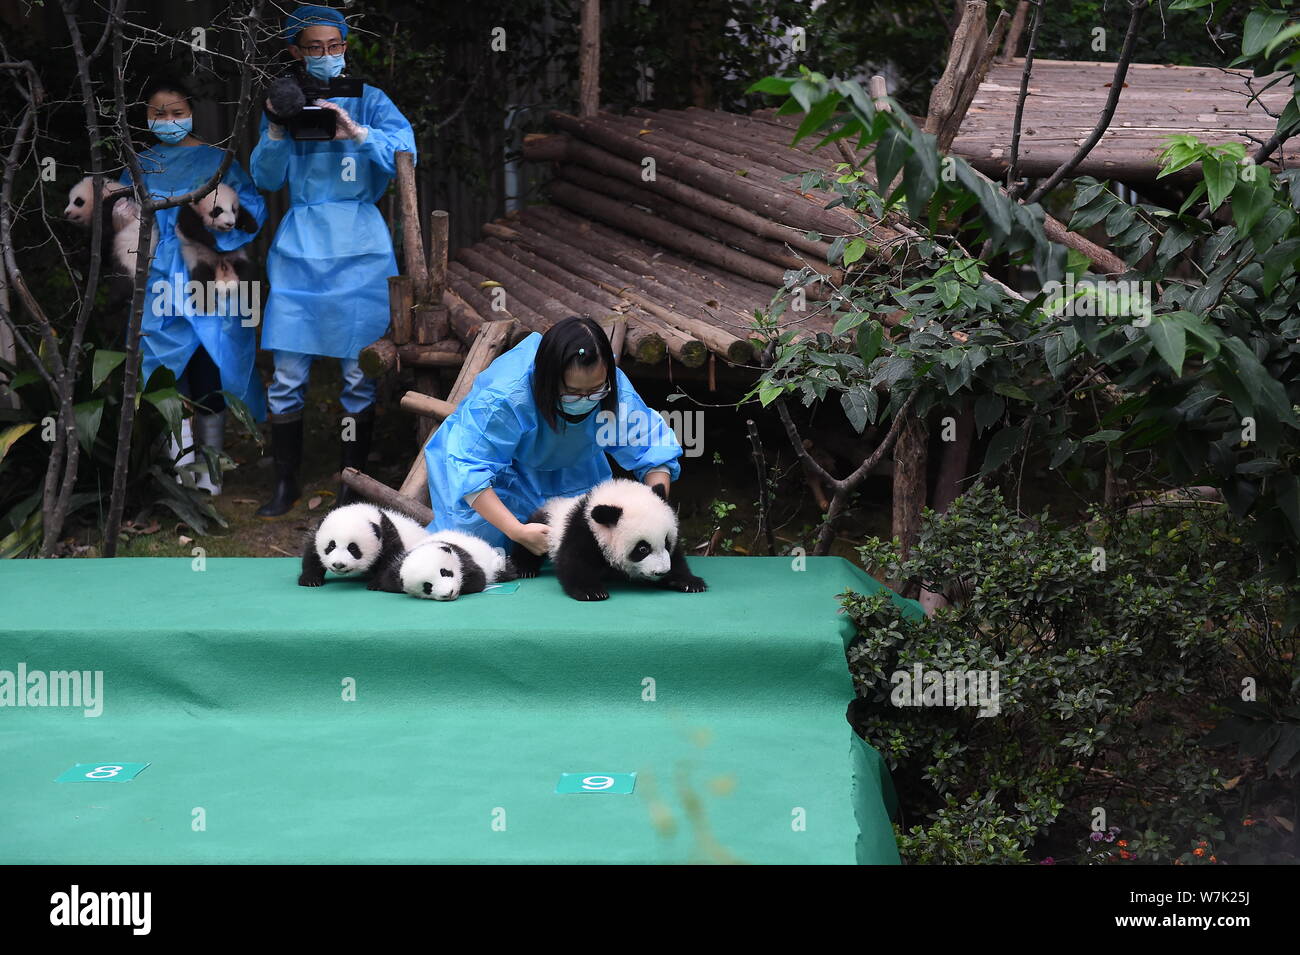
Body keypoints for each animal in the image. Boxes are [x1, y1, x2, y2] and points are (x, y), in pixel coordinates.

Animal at [298, 502, 432, 588]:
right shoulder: (317, 531)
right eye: (331, 545)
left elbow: (390, 560)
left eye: (353, 548)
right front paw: (310, 580)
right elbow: (312, 553)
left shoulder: (388, 535)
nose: (338, 565)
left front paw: (377, 584)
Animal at [374, 530, 518, 601]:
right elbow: (388, 580)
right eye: (427, 586)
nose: (449, 593)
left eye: (445, 572)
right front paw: (377, 585)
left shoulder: (462, 558)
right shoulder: (401, 561)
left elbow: (478, 579)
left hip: (495, 563)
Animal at [510, 478, 707, 601]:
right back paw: (526, 569)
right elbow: (574, 560)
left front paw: (690, 583)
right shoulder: (585, 531)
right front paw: (591, 591)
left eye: (666, 542)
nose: (661, 572)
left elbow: (677, 559)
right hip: (544, 524)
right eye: (642, 549)